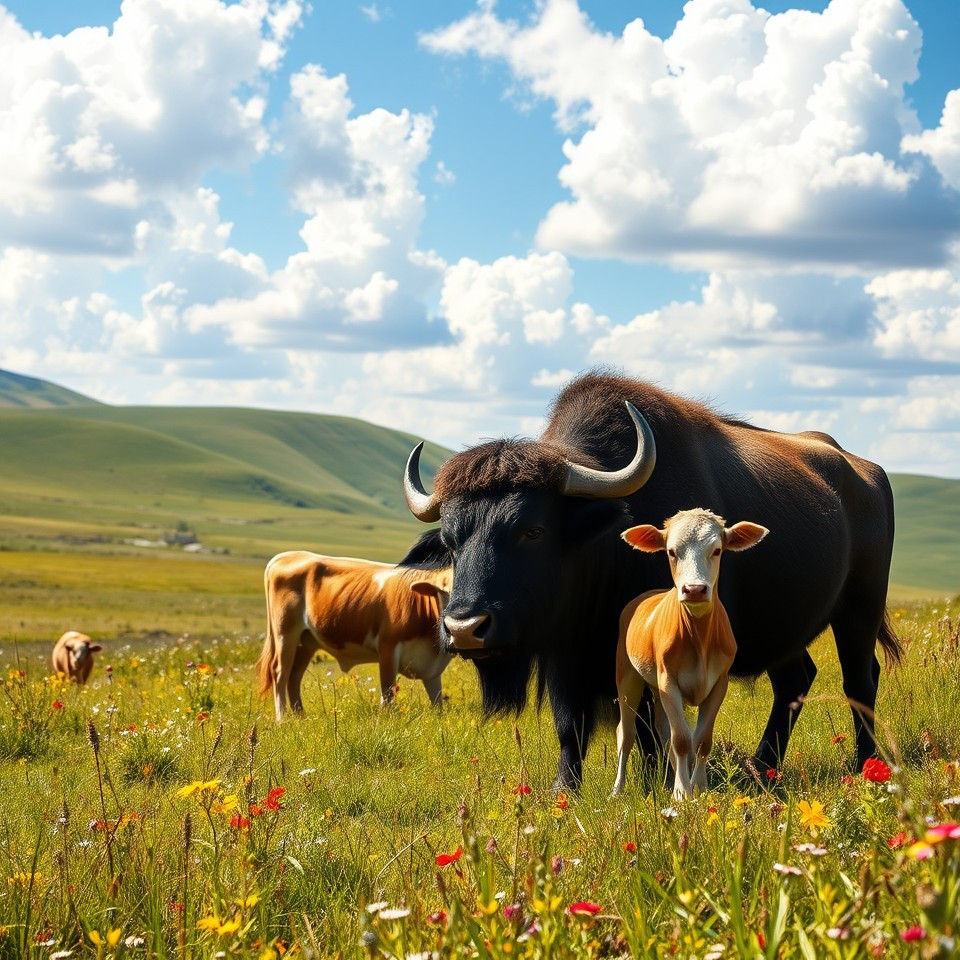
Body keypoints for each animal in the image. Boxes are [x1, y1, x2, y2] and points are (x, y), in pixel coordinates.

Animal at [256, 551, 453, 722]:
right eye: (445, 591)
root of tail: (288, 555)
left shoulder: (433, 666)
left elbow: (437, 701)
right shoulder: (388, 646)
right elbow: (388, 692)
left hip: (306, 640)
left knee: (294, 675)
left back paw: (300, 717)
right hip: (285, 632)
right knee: (279, 672)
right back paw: (282, 719)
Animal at [612, 510, 769, 799]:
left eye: (717, 550)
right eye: (671, 551)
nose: (694, 589)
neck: (698, 640)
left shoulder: (720, 682)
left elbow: (701, 740)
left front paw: (698, 786)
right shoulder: (668, 681)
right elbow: (682, 739)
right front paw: (683, 792)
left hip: (656, 687)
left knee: (663, 730)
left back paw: (670, 781)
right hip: (627, 676)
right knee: (626, 734)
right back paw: (618, 789)